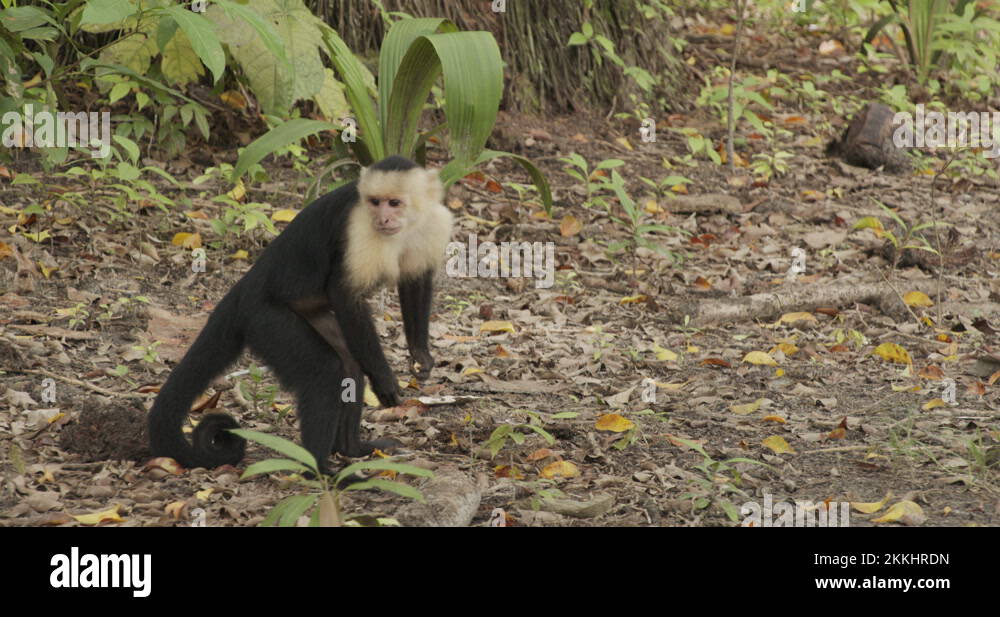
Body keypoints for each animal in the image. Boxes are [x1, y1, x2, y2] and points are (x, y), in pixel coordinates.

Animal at [147, 155, 453, 475]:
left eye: (394, 203)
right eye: (374, 202)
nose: (383, 219)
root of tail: (246, 286)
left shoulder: (436, 221)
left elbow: (416, 280)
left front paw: (420, 355)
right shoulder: (359, 226)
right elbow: (345, 294)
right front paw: (384, 379)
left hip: (311, 314)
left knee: (349, 364)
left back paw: (351, 449)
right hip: (265, 319)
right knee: (325, 371)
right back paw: (319, 469)